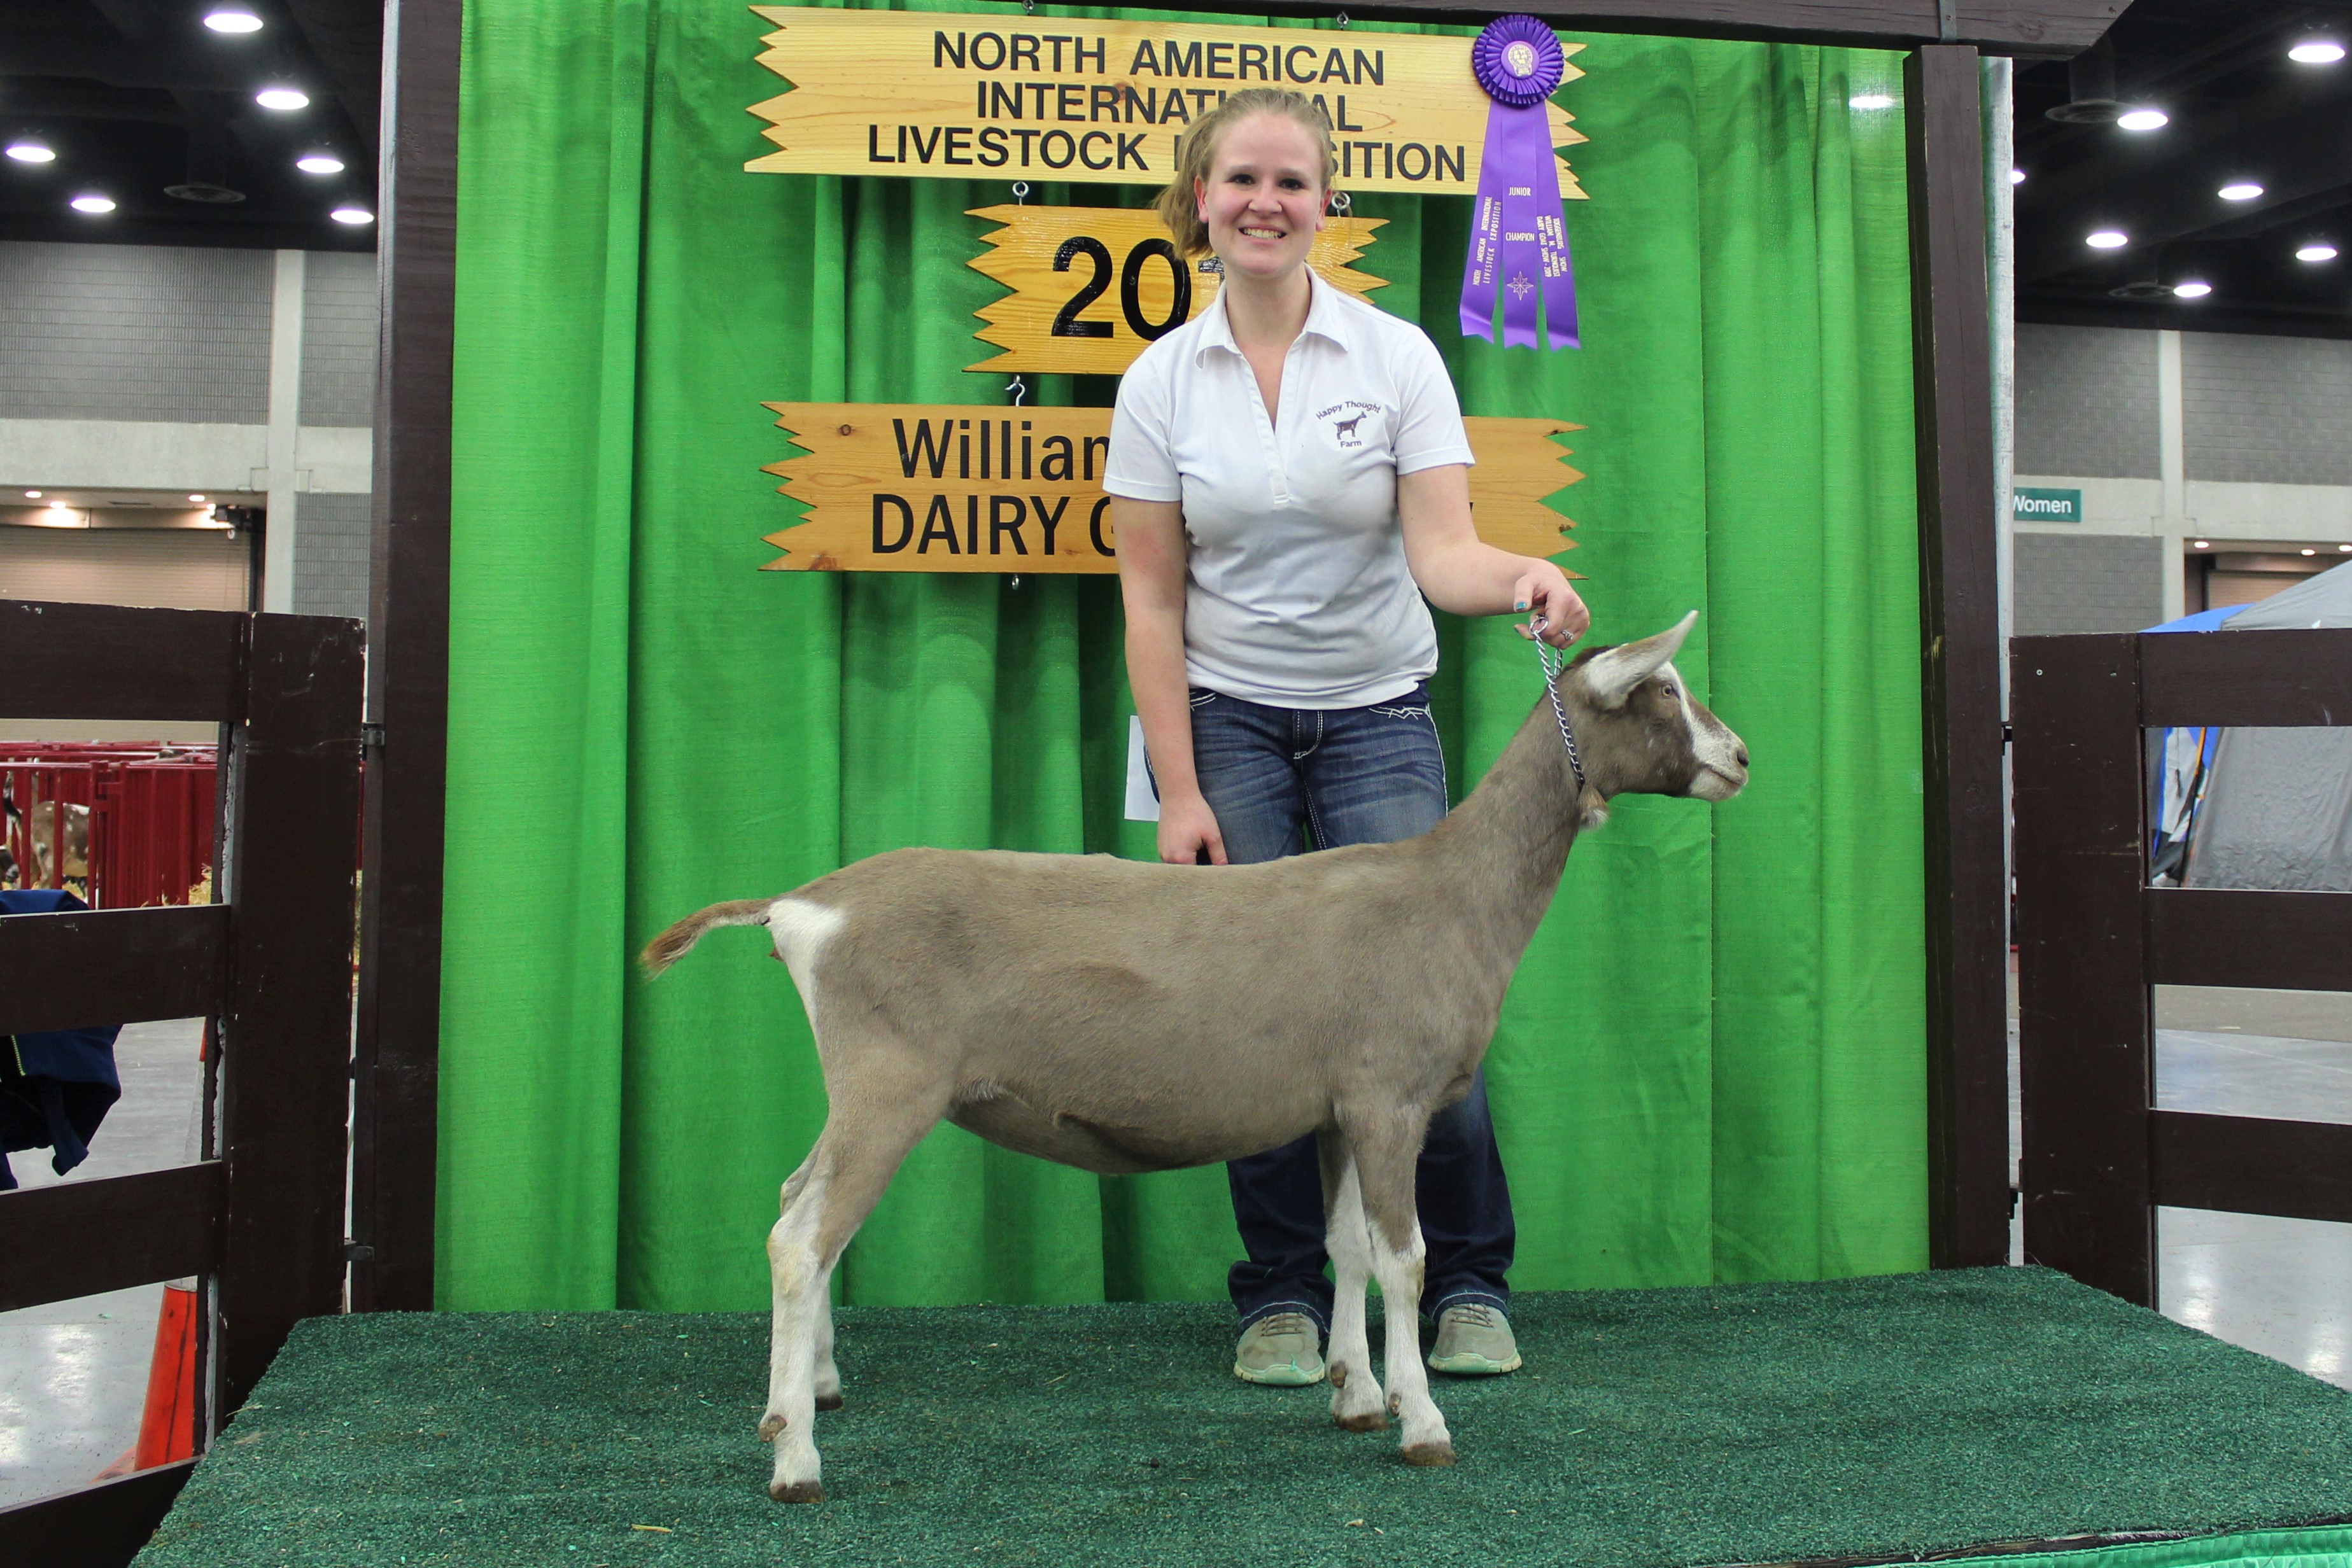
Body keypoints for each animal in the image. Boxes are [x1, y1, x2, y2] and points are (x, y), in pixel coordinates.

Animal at [642, 613, 1747, 1501]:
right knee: (801, 1238)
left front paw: (1353, 1394)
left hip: (869, 1087)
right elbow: (1403, 1259)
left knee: (800, 1204)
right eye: (1659, 691)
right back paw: (796, 1458)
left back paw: (808, 1392)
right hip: (887, 1082)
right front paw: (1422, 1421)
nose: (1738, 758)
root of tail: (800, 908)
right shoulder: (1388, 1099)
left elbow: (1347, 1248)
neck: (1448, 891)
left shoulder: (1336, 1110)